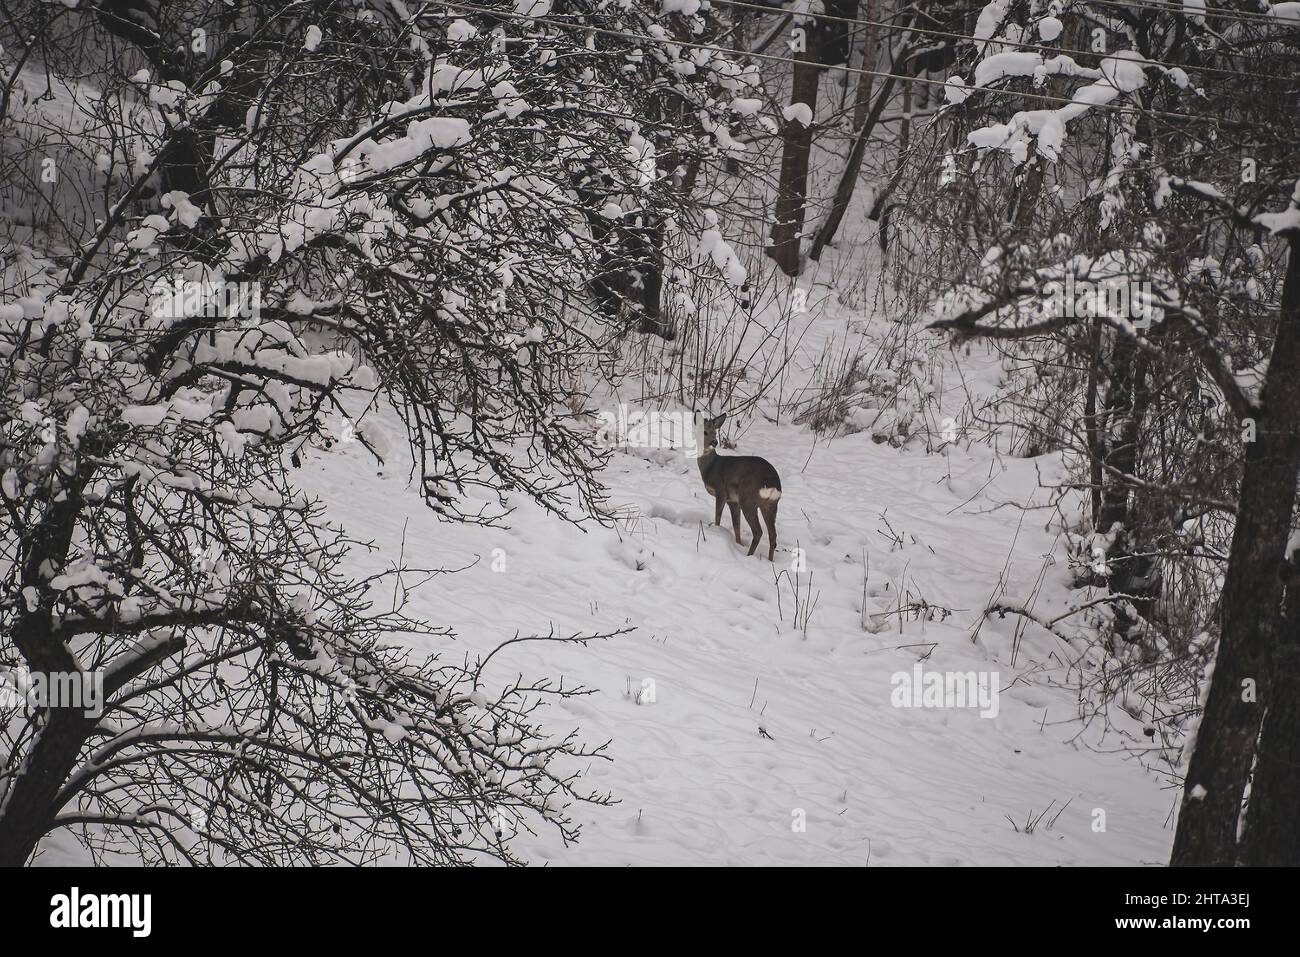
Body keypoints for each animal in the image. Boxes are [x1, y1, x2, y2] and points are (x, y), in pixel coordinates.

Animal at [697, 413, 782, 561]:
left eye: (715, 432)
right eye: (705, 432)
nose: (714, 442)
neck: (711, 467)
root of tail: (773, 483)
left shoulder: (721, 491)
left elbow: (717, 517)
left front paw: (716, 531)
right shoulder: (733, 501)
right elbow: (736, 525)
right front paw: (738, 544)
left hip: (748, 499)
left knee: (758, 532)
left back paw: (749, 556)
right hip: (770, 504)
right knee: (772, 535)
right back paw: (770, 560)